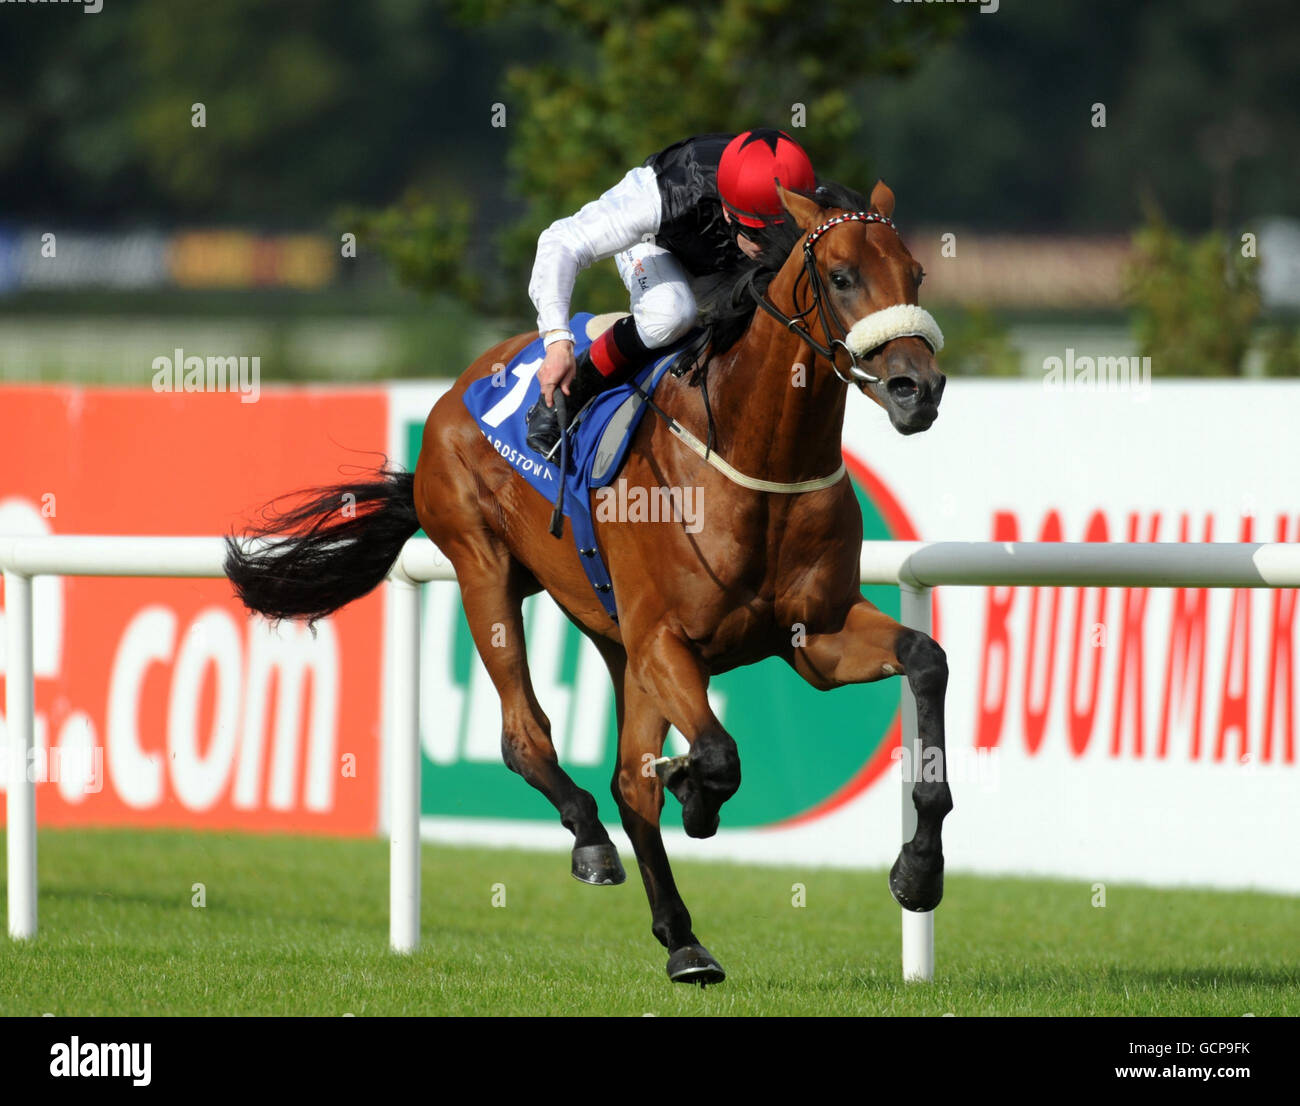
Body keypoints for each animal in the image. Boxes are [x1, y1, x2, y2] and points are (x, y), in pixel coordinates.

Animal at [225, 179, 950, 985]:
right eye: (842, 276)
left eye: (917, 273)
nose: (917, 388)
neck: (753, 462)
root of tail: (461, 388)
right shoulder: (666, 639)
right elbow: (718, 756)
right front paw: (695, 793)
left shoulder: (813, 636)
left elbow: (926, 660)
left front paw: (918, 873)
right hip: (485, 569)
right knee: (528, 736)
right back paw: (598, 844)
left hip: (610, 635)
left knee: (629, 782)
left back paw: (683, 939)